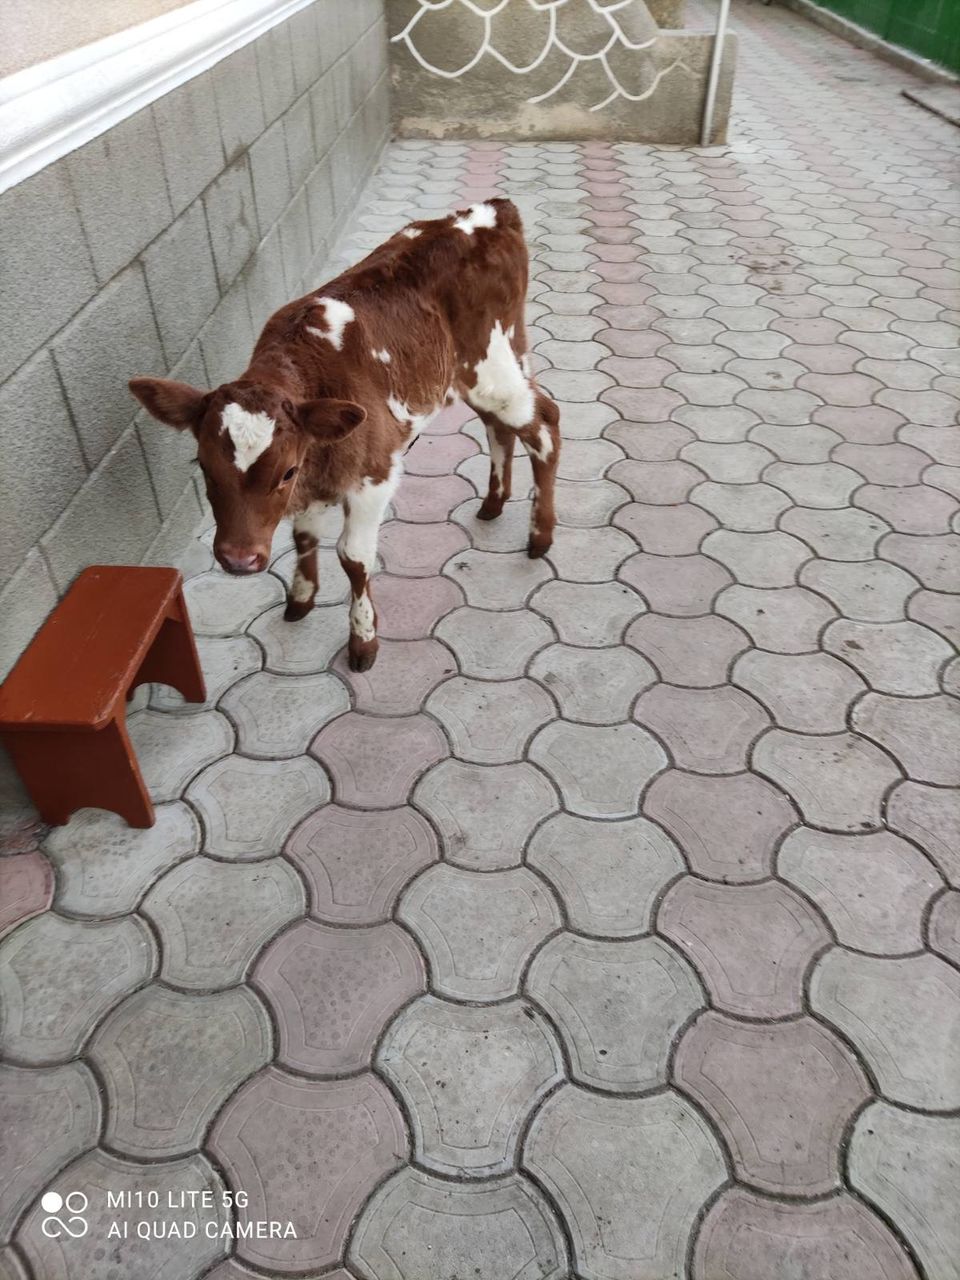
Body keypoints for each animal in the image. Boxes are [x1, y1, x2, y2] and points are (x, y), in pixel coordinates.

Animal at [129, 197, 560, 672]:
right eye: (204, 466)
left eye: (286, 471)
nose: (239, 560)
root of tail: (489, 211)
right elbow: (303, 536)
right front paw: (301, 598)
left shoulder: (375, 476)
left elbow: (353, 559)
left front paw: (363, 639)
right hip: (470, 378)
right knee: (497, 426)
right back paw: (494, 502)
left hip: (495, 365)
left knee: (546, 423)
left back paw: (540, 536)